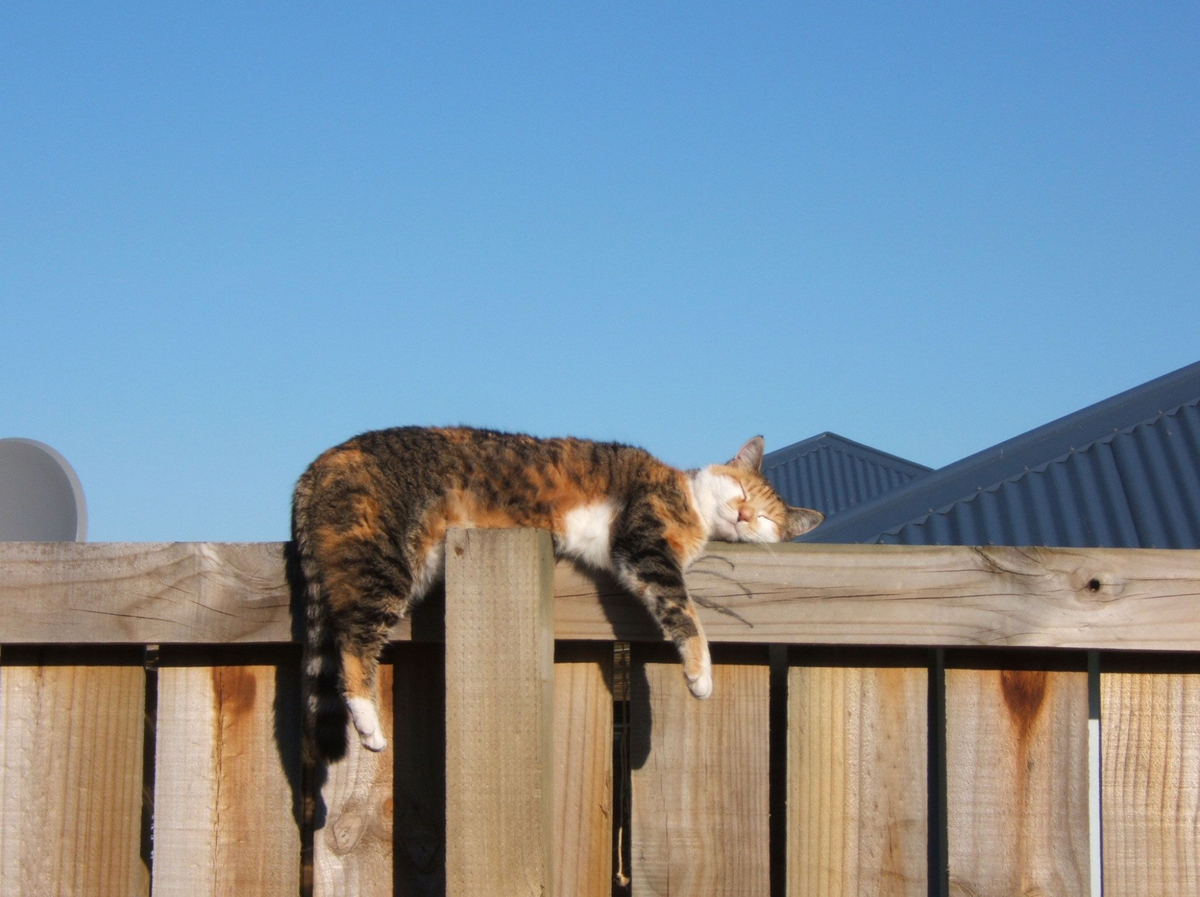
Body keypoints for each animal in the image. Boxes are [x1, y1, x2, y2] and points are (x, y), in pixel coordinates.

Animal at [292, 426, 825, 757]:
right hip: (383, 563)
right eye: (741, 490)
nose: (743, 515)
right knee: (353, 641)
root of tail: (319, 463)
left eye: (768, 518)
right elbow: (683, 610)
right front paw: (701, 677)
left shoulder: (628, 556)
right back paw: (369, 724)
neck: (693, 505)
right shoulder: (646, 538)